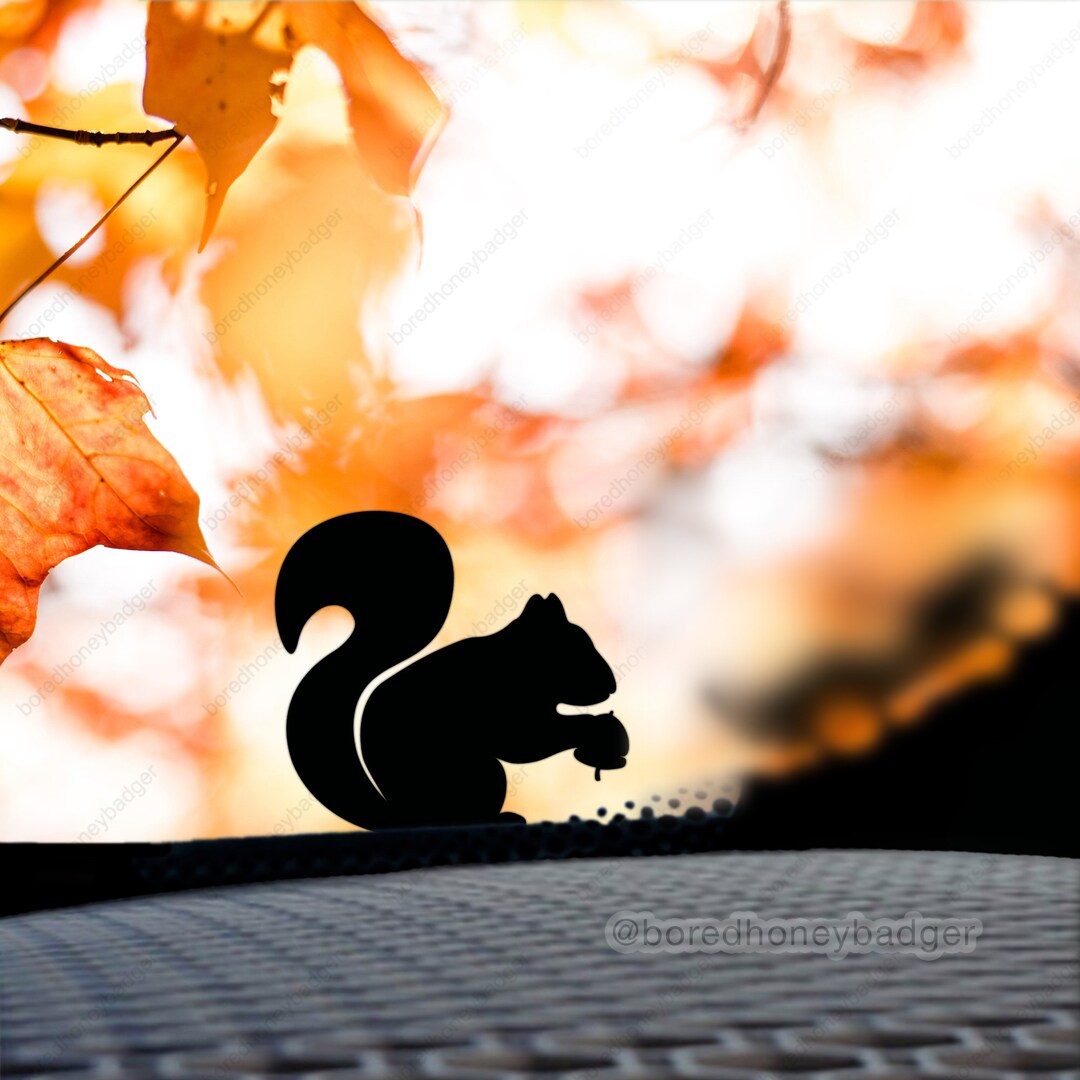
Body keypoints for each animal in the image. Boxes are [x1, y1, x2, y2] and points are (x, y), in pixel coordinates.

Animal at [275, 510, 629, 829]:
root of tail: (402, 818)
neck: (517, 662)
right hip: (480, 774)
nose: (612, 686)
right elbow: (523, 740)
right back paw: (500, 819)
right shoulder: (503, 704)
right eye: (576, 649)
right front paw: (596, 726)